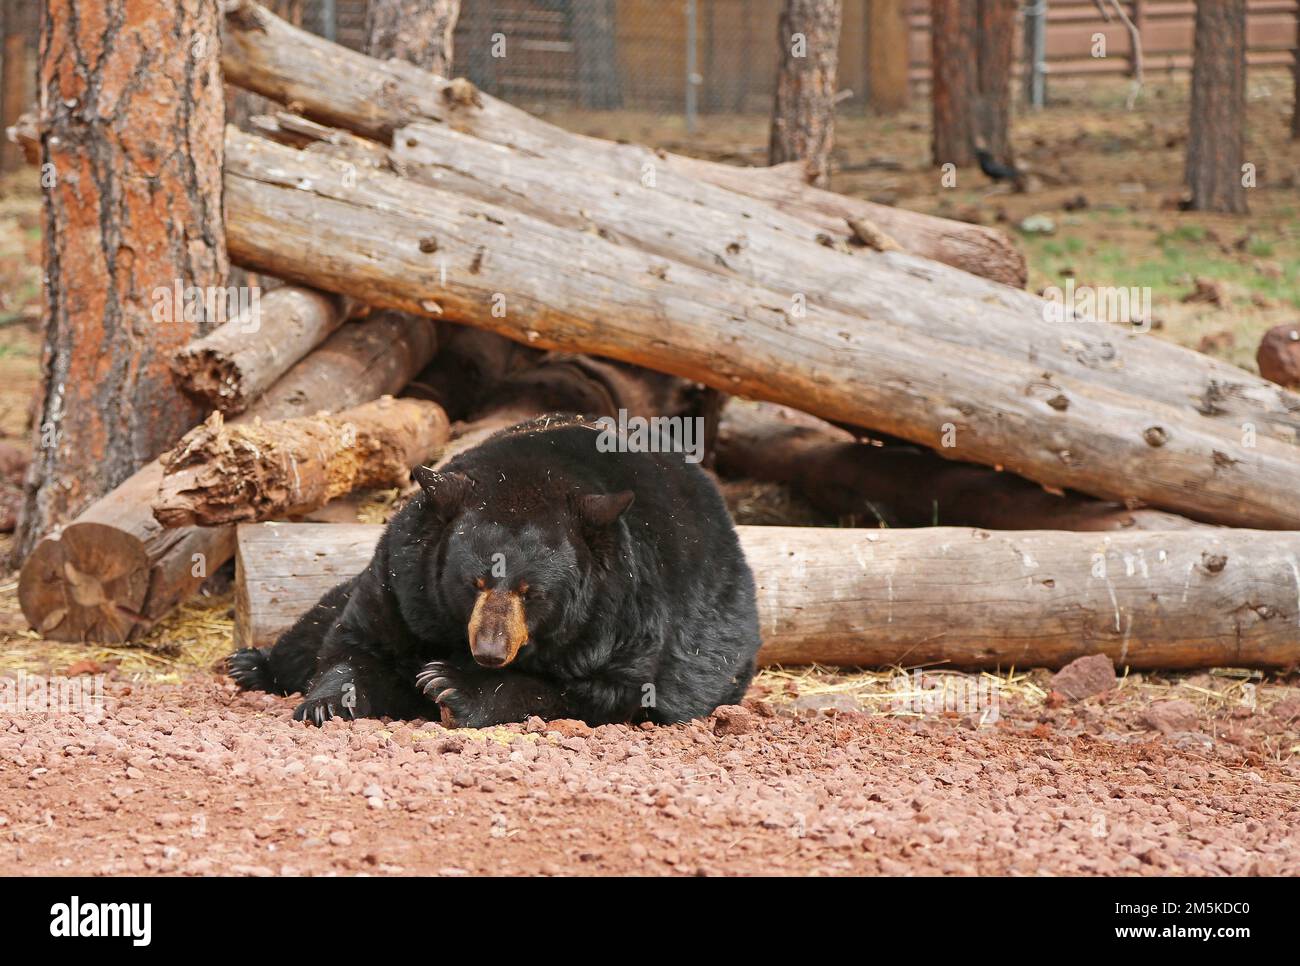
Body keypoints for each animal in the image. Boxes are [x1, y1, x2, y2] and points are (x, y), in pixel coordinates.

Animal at [227, 416, 762, 728]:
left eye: (533, 592)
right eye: (473, 584)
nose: (488, 652)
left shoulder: (626, 616)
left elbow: (592, 690)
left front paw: (449, 686)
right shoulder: (404, 579)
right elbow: (358, 640)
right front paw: (328, 701)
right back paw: (250, 664)